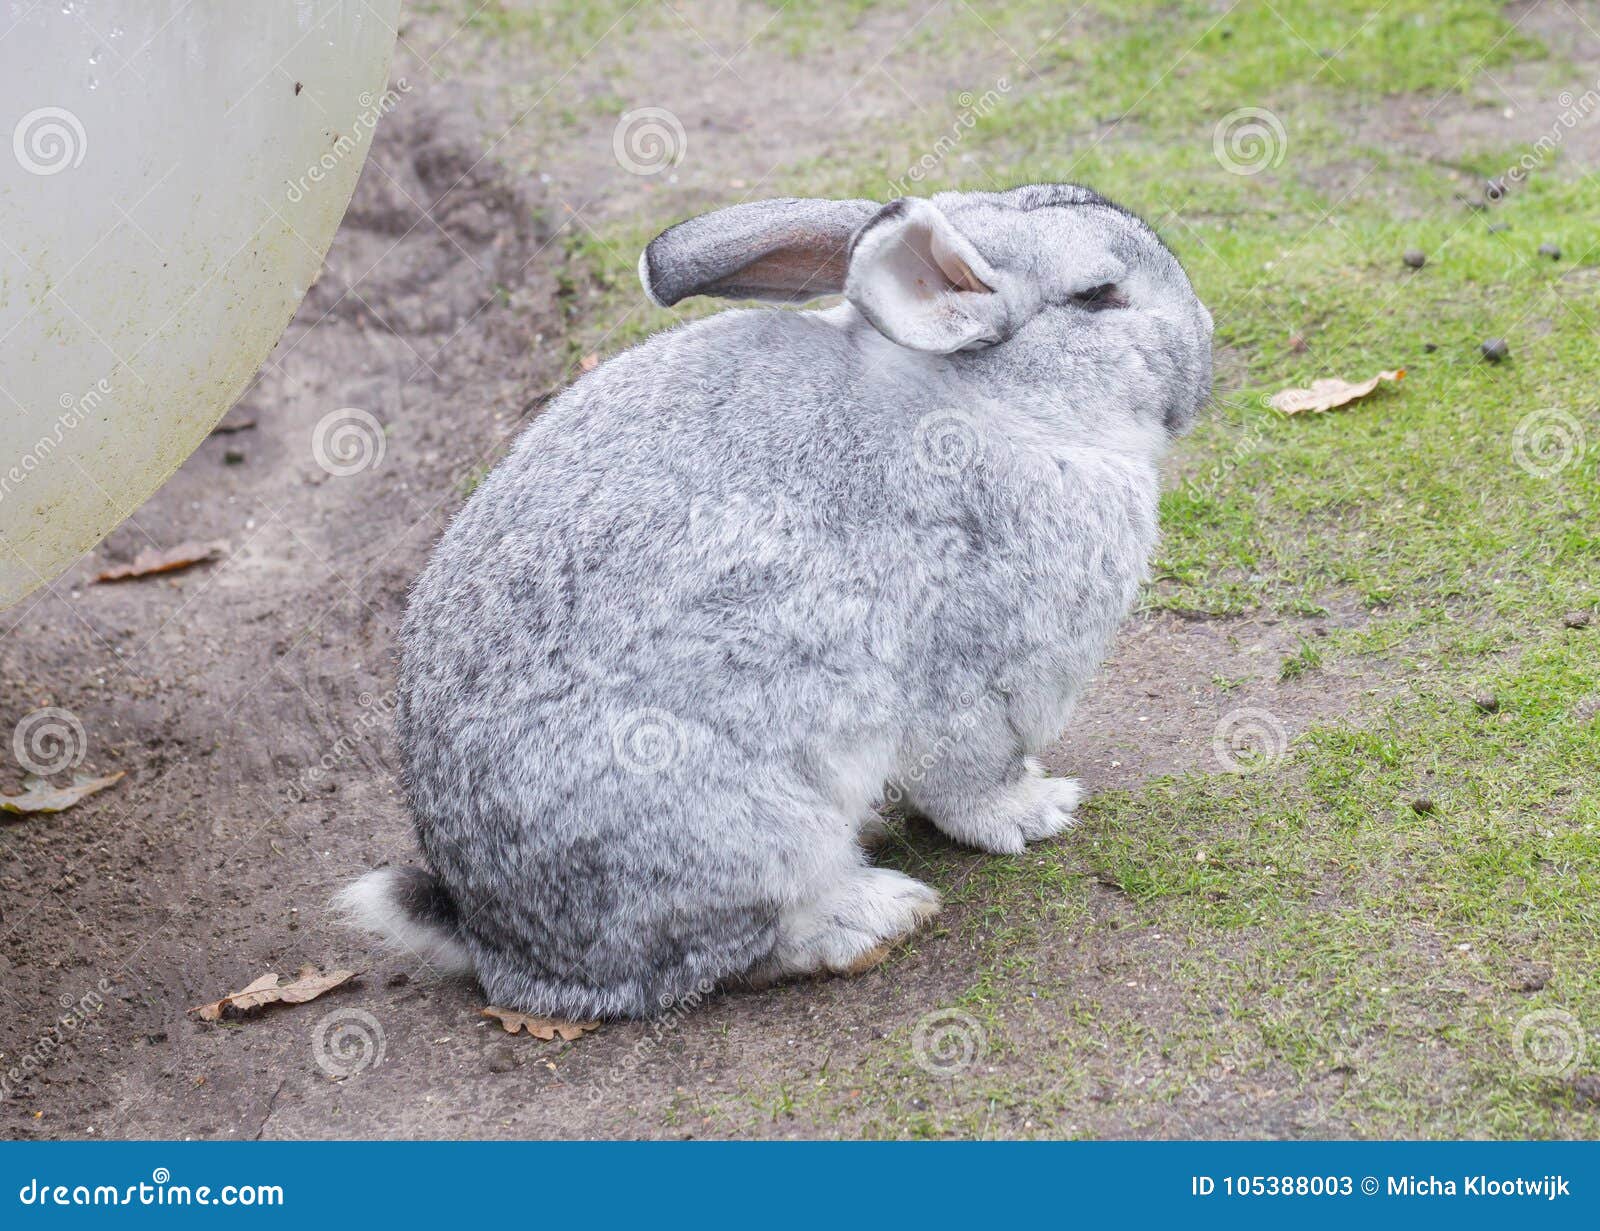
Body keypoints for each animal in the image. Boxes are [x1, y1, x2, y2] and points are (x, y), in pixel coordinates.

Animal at [338, 184, 1213, 1020]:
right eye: (1098, 295)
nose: (1204, 354)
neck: (999, 405)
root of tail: (494, 940)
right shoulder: (972, 677)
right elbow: (970, 780)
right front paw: (1038, 810)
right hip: (739, 825)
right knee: (732, 951)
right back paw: (870, 914)